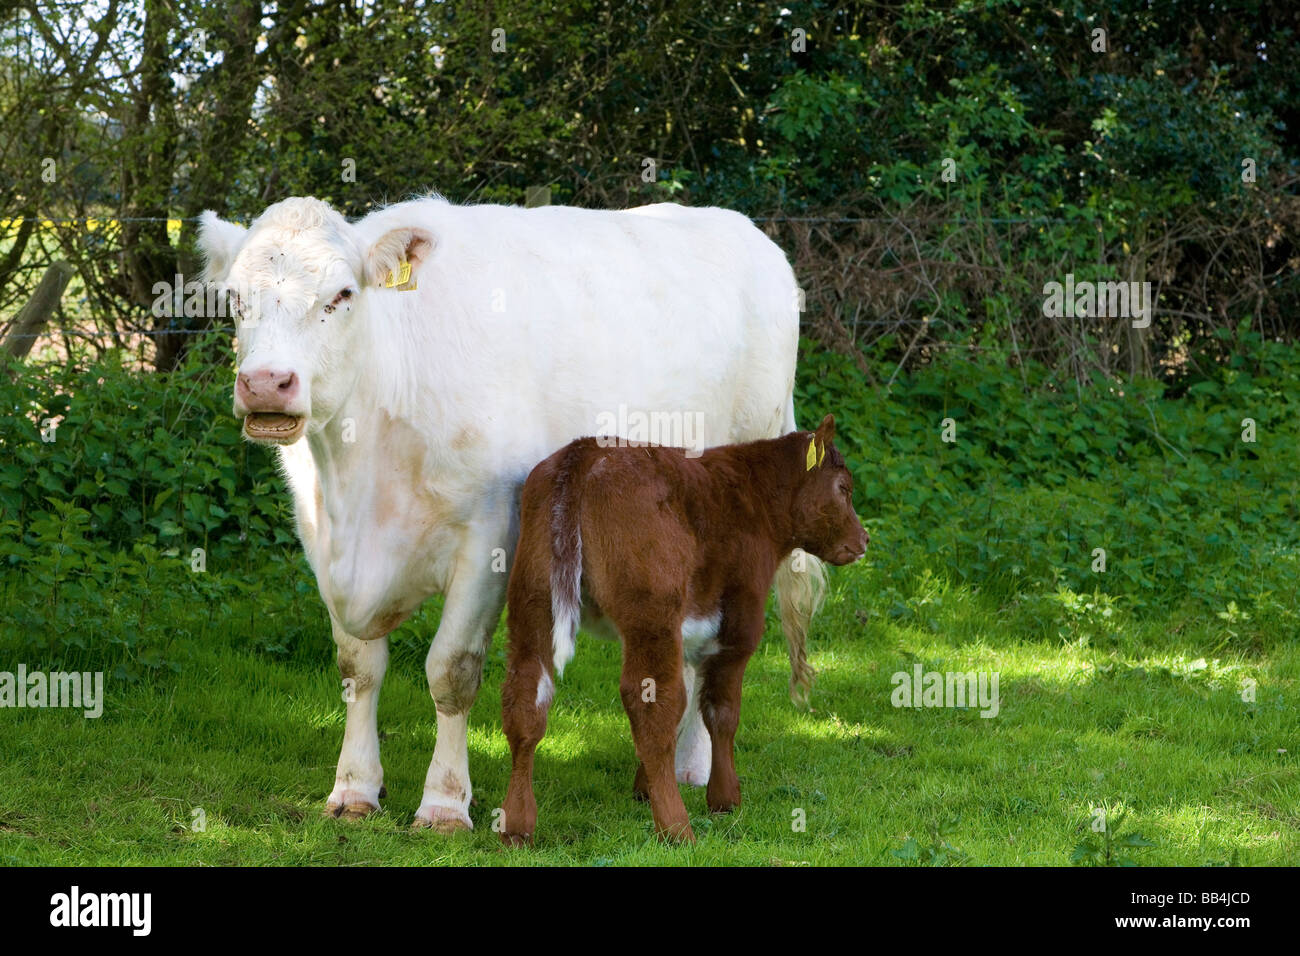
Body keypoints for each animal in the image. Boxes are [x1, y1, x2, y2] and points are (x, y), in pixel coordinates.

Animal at [196, 193, 825, 831]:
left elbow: (452, 670)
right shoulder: (321, 539)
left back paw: (692, 765)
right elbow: (359, 669)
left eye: (342, 295)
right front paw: (354, 789)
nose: (266, 383)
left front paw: (445, 803)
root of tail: (746, 231)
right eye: (235, 298)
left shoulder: (488, 535)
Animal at [500, 415, 869, 844]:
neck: (755, 499)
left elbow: (688, 706)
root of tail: (585, 452)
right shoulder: (740, 623)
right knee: (651, 705)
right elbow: (721, 712)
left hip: (533, 598)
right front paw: (725, 798)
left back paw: (516, 826)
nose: (863, 539)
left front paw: (643, 788)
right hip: (652, 612)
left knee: (527, 697)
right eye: (843, 488)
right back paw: (676, 828)